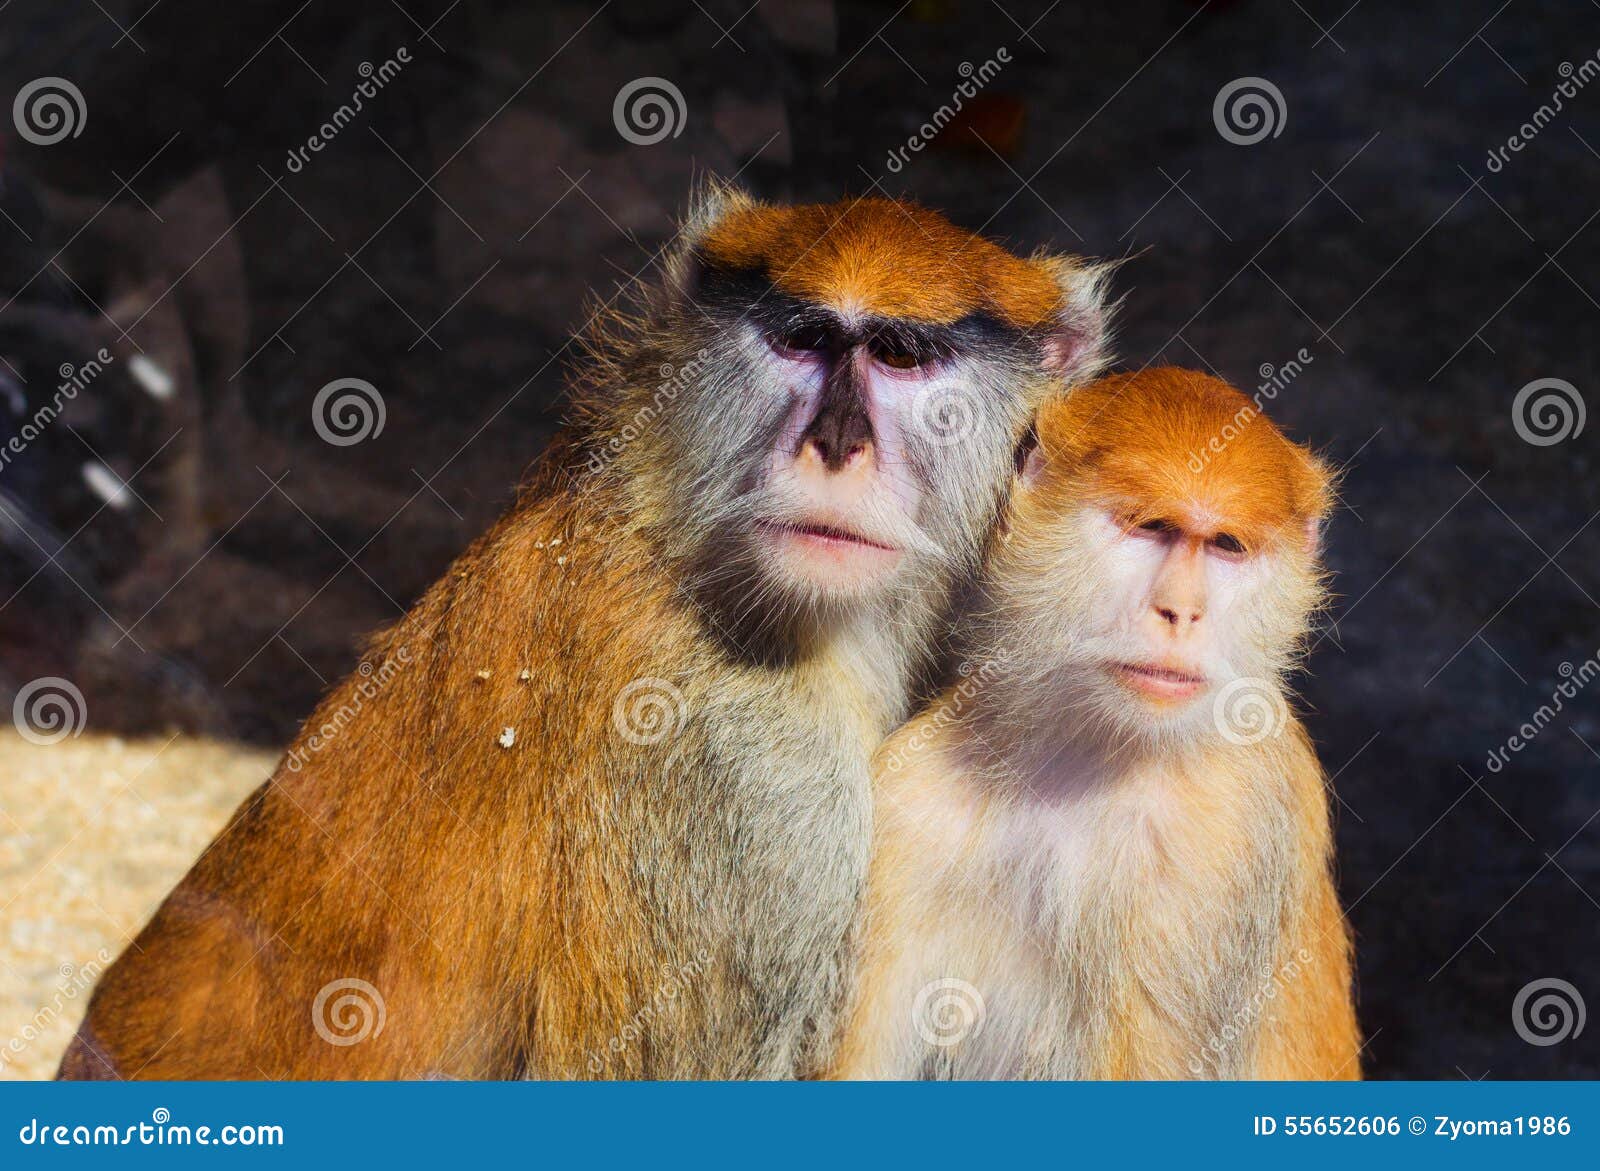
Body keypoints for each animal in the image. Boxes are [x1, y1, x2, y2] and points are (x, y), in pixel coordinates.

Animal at [829, 367, 1360, 1080]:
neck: (1087, 754)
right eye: (1151, 528)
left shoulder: (1230, 830)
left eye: (1226, 546)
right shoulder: (910, 802)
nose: (1181, 611)